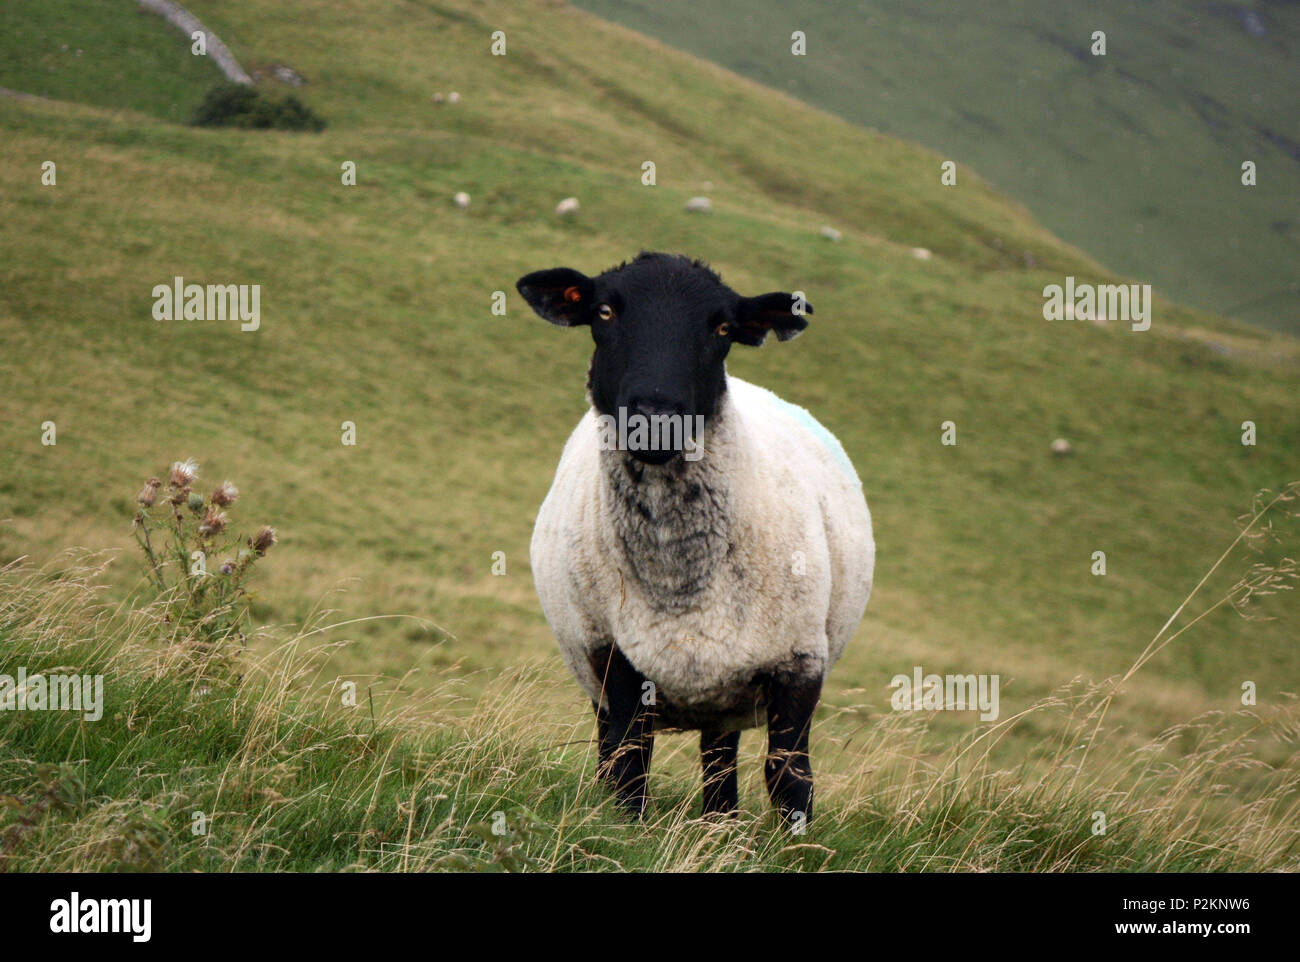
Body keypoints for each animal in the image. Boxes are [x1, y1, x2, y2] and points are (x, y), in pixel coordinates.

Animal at [517, 252, 874, 828]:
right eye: (604, 311)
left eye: (722, 327)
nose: (654, 418)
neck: (677, 578)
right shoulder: (615, 660)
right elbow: (628, 766)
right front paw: (626, 829)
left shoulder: (799, 662)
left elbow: (790, 778)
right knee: (627, 756)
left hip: (724, 691)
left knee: (720, 764)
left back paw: (719, 826)